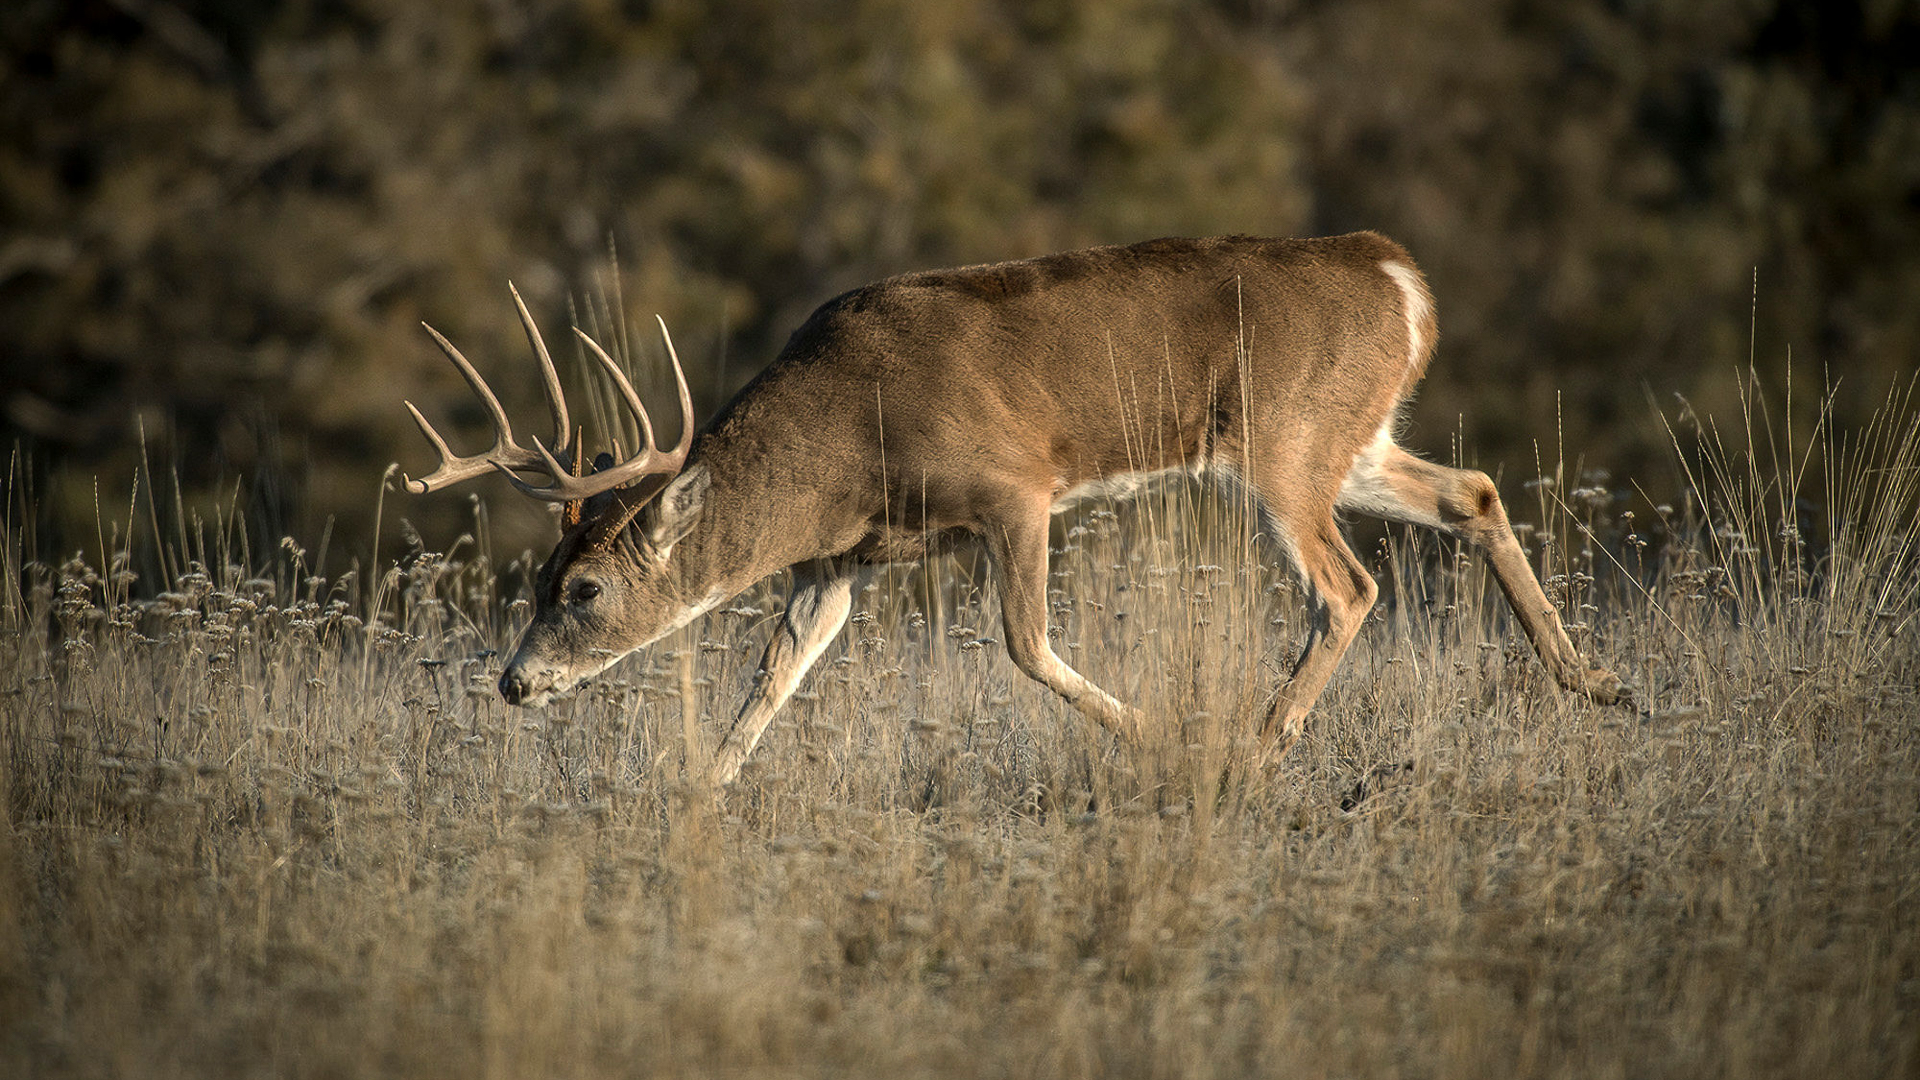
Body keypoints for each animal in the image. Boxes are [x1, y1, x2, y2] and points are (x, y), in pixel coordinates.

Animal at [401, 232, 1629, 788]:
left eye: (584, 589)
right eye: (535, 584)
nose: (512, 683)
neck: (847, 436)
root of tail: (1397, 276)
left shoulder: (1014, 488)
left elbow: (1026, 645)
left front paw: (1169, 741)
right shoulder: (843, 556)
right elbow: (779, 670)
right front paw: (697, 797)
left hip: (1284, 443)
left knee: (1351, 584)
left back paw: (1253, 746)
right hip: (1348, 437)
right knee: (1471, 493)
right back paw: (1596, 682)